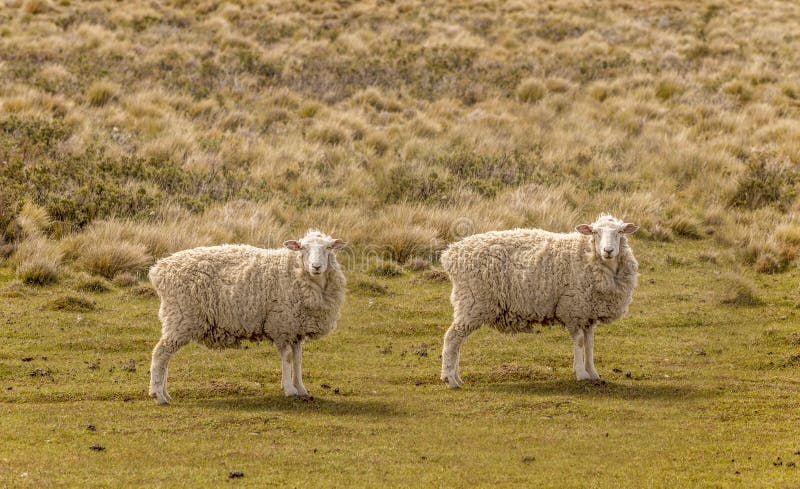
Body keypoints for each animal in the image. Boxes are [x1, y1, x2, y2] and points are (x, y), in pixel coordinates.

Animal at [147, 230, 346, 404]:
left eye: (328, 248)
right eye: (303, 248)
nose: (316, 267)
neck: (296, 272)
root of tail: (159, 269)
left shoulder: (296, 328)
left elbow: (298, 359)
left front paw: (301, 389)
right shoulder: (280, 325)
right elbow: (288, 357)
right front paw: (289, 390)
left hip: (177, 318)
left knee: (165, 357)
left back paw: (165, 393)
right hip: (181, 317)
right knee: (160, 354)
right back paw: (159, 395)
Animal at [439, 214, 639, 388]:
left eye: (620, 232)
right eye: (595, 232)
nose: (608, 251)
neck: (589, 257)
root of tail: (451, 253)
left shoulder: (588, 312)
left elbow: (590, 343)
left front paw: (593, 373)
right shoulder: (572, 309)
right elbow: (580, 342)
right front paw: (581, 374)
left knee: (456, 341)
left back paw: (457, 378)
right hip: (473, 301)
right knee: (452, 338)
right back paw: (450, 380)